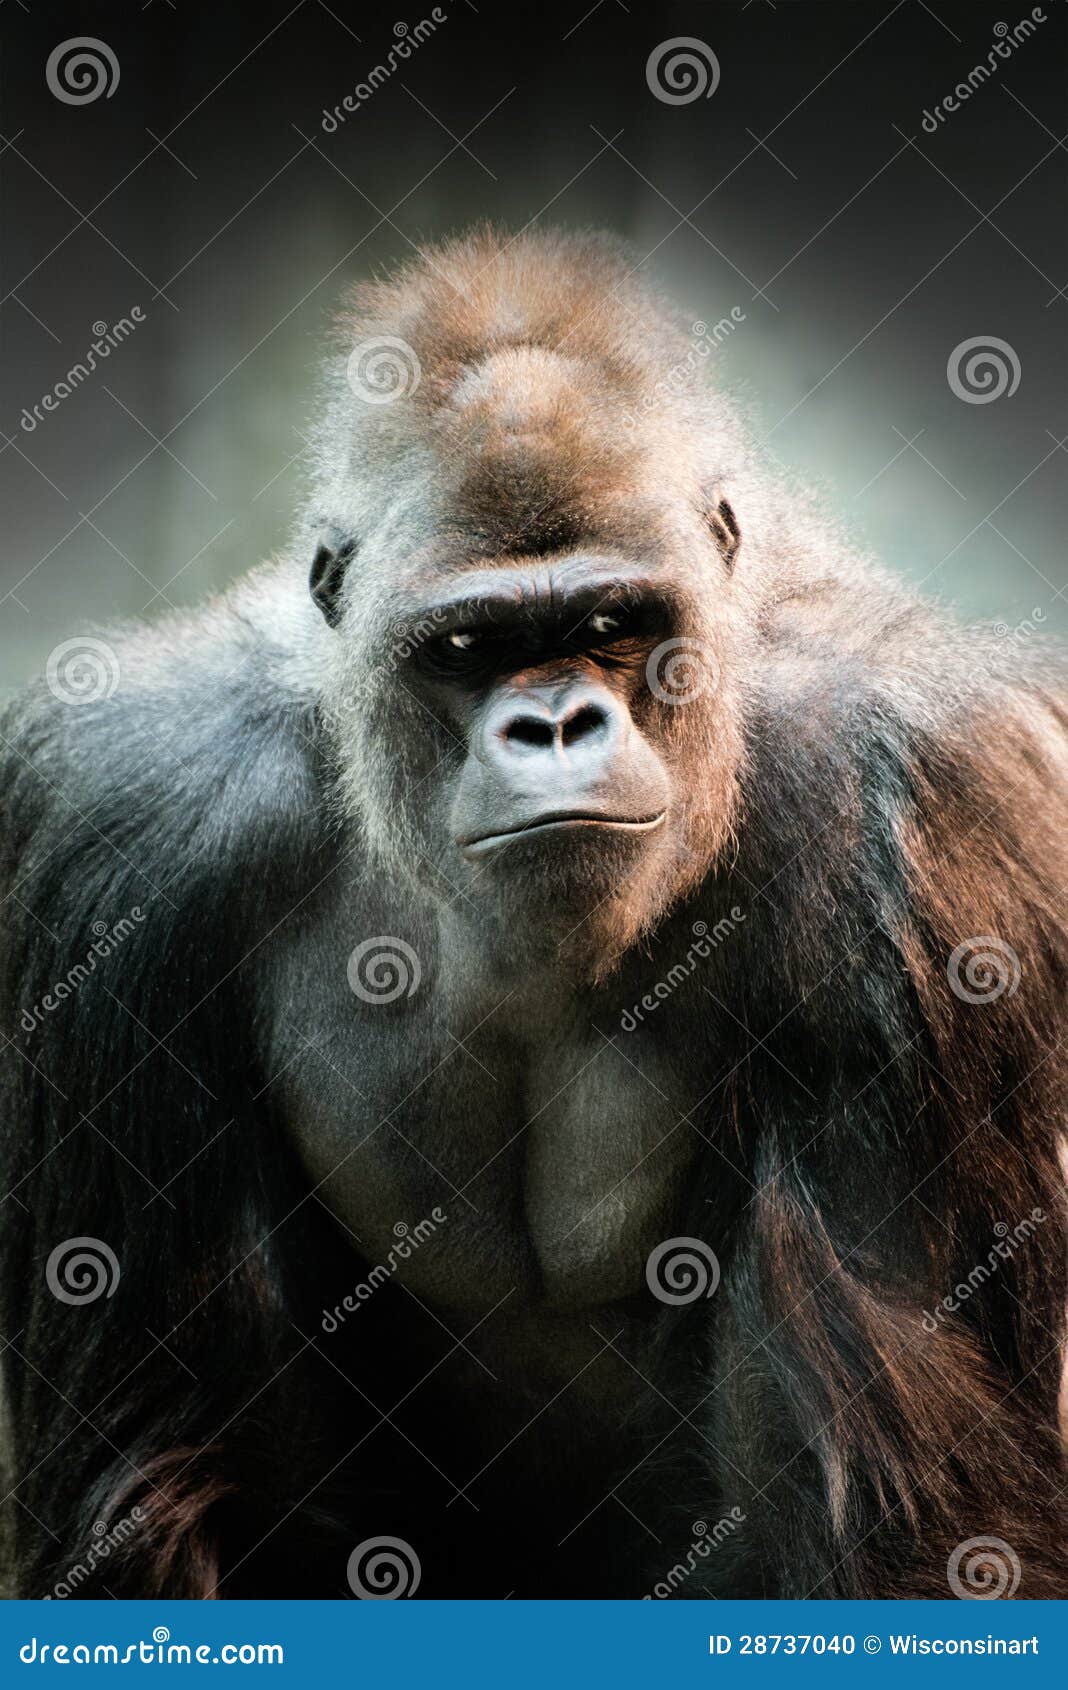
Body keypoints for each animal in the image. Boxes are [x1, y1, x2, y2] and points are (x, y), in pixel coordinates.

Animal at [0, 226, 1065, 1599]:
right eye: (466, 648)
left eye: (613, 623)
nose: (555, 726)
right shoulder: (120, 823)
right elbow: (163, 1469)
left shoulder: (934, 820)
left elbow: (922, 1529)